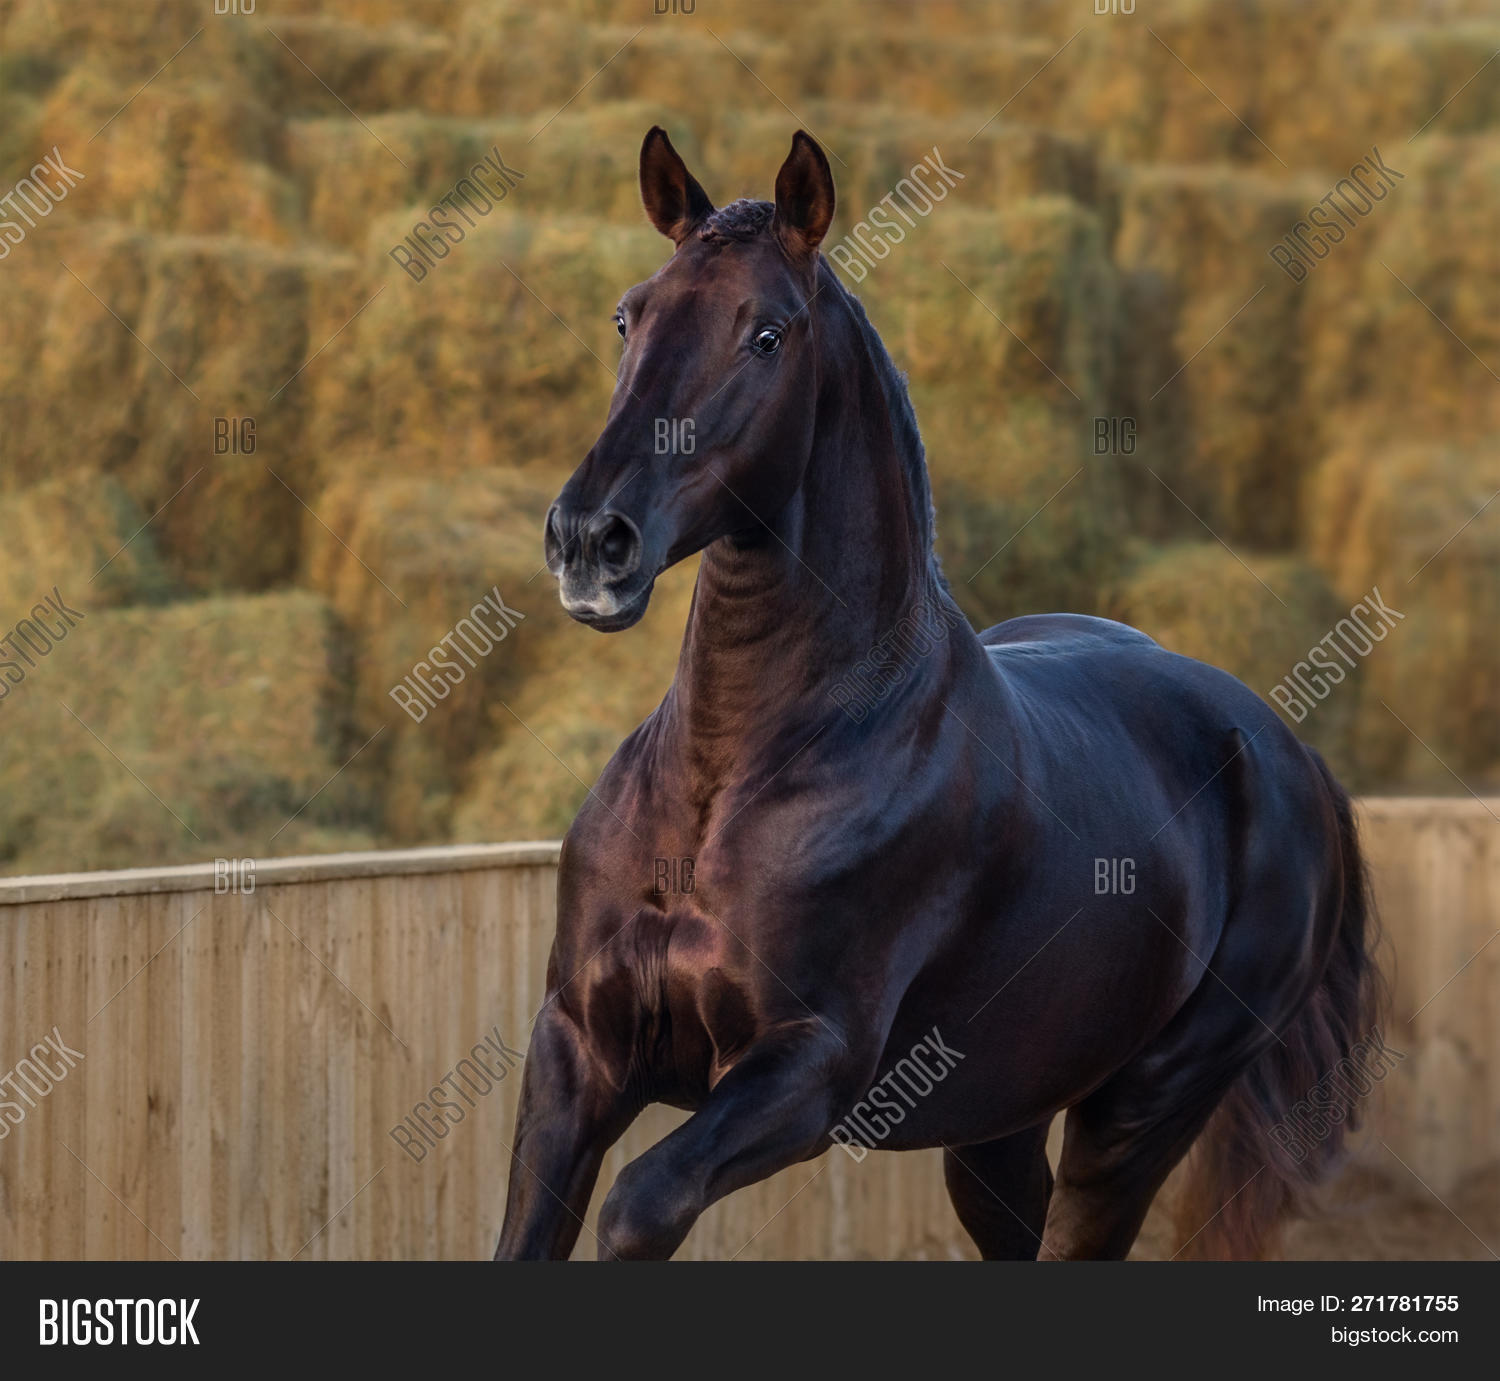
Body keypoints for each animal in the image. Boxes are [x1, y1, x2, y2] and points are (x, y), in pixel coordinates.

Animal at [494, 127, 1381, 1261]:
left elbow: (641, 1203)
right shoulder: (577, 1048)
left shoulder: (810, 1071)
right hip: (998, 1125)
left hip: (1139, 1109)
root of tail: (1285, 751)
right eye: (628, 313)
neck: (729, 775)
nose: (590, 541)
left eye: (767, 333)